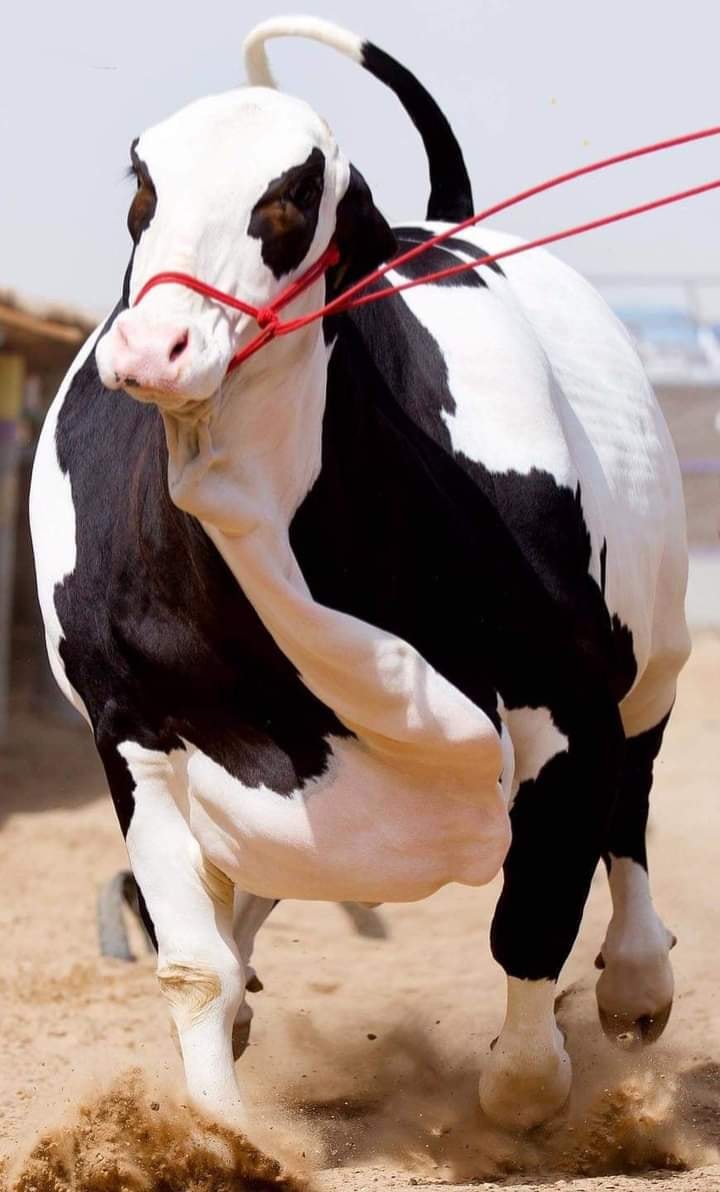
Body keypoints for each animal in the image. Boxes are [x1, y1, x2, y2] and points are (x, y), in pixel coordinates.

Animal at [30, 15, 689, 1133]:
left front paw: (522, 1088)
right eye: (142, 181)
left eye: (295, 192)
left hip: (659, 657)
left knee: (633, 809)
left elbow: (534, 927)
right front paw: (213, 1136)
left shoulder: (572, 706)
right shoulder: (134, 727)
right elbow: (193, 964)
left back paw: (638, 983)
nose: (155, 345)